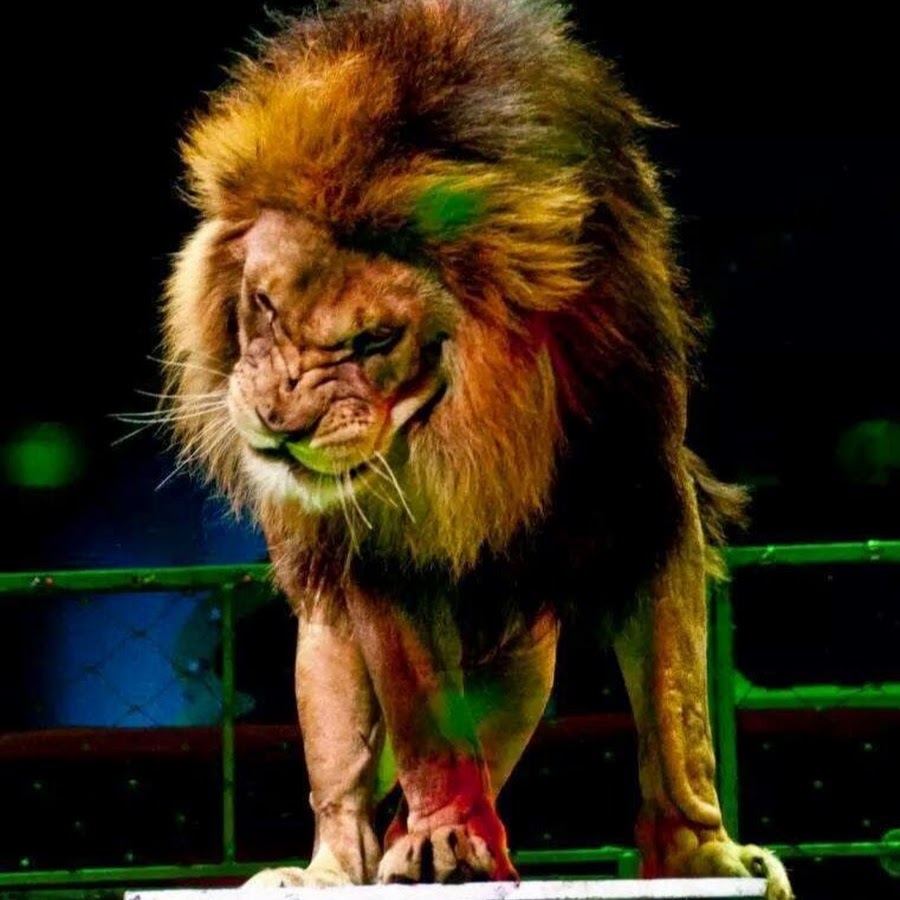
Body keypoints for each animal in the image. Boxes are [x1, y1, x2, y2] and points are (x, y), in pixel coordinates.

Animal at [162, 1, 793, 896]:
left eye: (375, 339)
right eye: (264, 305)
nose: (280, 423)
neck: (465, 432)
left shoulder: (645, 489)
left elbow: (677, 715)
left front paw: (705, 854)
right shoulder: (382, 532)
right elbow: (423, 711)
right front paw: (441, 842)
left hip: (522, 657)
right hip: (327, 640)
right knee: (347, 788)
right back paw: (335, 869)